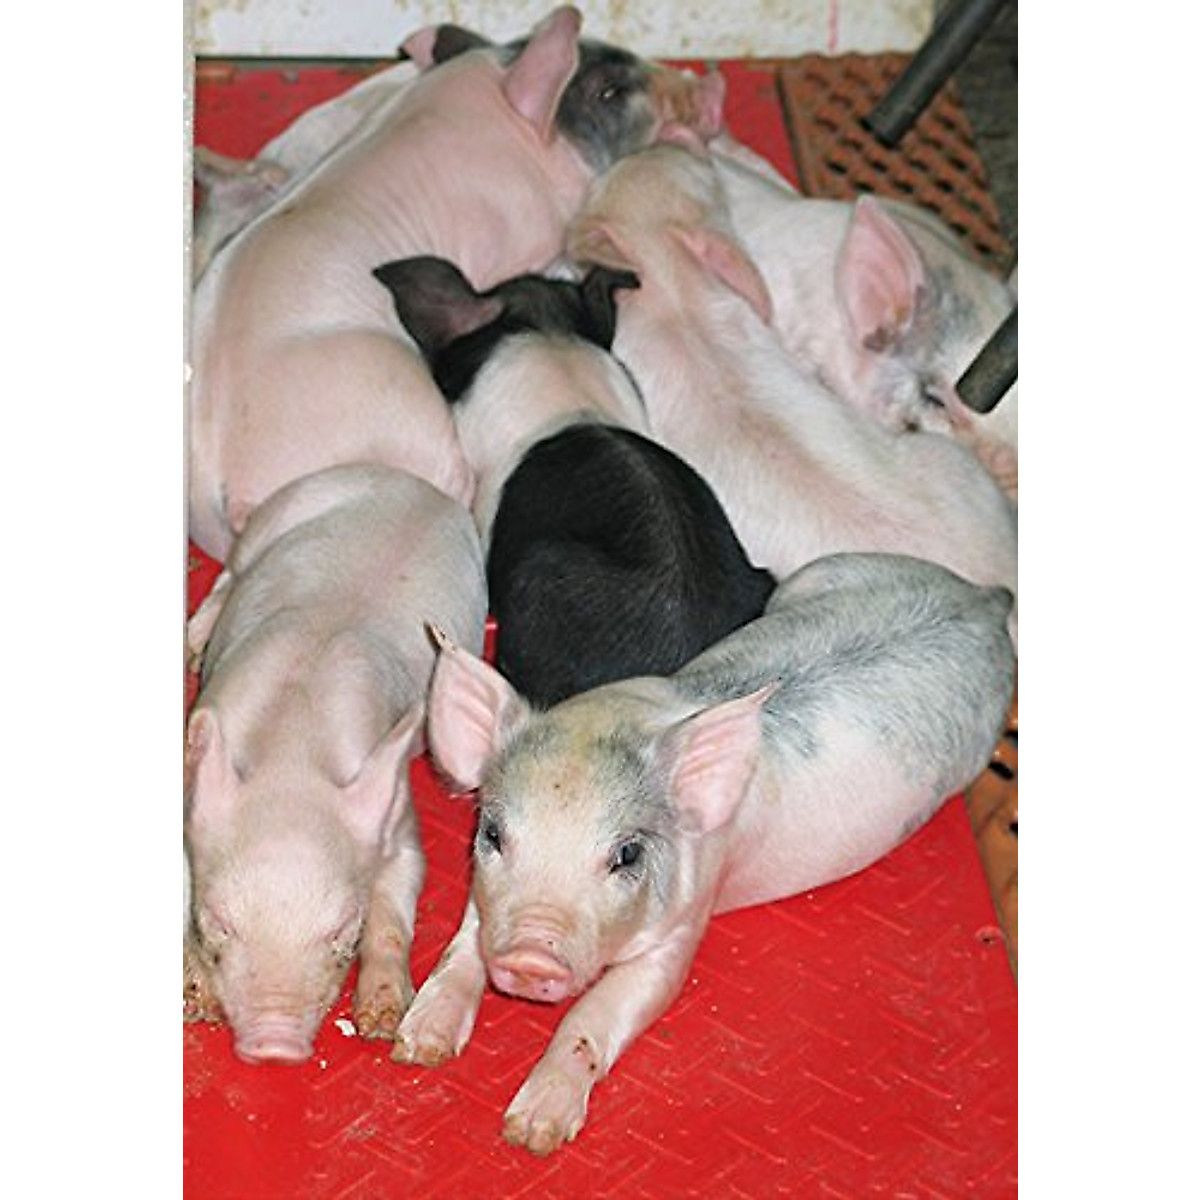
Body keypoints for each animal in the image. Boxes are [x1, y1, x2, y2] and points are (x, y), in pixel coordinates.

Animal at [183, 464, 487, 1063]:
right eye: (220, 922)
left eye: (342, 930)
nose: (275, 1046)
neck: (292, 753)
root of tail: (415, 484)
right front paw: (196, 1001)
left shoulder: (398, 819)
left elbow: (399, 900)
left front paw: (385, 1023)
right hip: (277, 516)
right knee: (228, 573)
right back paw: (191, 646)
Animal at [393, 551, 1016, 1153]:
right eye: (494, 833)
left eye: (627, 854)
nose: (530, 956)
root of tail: (986, 599)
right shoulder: (488, 899)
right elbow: (462, 949)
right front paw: (415, 1045)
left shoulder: (688, 917)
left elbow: (605, 1008)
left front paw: (531, 1132)